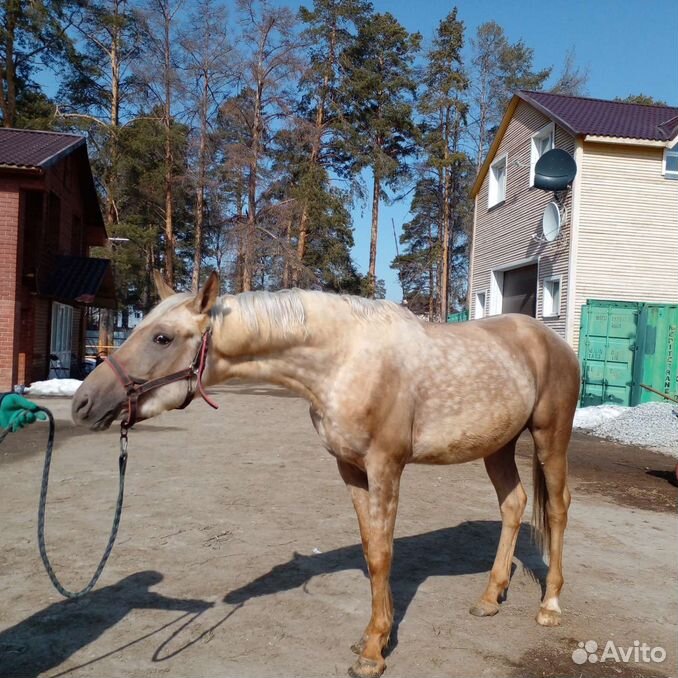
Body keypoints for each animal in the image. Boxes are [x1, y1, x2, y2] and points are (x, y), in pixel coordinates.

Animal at [72, 272, 581, 678]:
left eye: (162, 337)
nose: (83, 403)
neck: (343, 360)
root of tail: (552, 339)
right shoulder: (350, 467)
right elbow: (371, 548)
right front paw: (375, 636)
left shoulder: (385, 466)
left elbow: (383, 553)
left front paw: (373, 653)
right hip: (499, 445)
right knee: (513, 505)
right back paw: (490, 598)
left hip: (550, 437)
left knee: (557, 509)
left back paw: (550, 606)